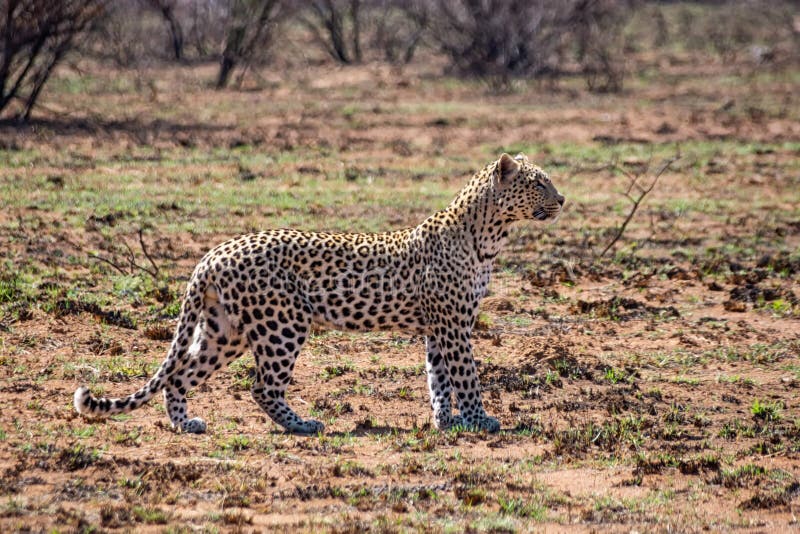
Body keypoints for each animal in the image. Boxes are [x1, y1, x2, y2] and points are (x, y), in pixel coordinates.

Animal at [74, 153, 565, 435]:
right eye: (538, 183)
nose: (562, 200)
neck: (490, 235)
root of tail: (213, 253)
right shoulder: (454, 324)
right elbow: (466, 377)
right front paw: (480, 420)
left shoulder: (439, 326)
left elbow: (439, 379)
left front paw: (448, 422)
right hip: (282, 324)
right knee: (261, 386)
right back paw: (303, 425)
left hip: (224, 331)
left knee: (181, 374)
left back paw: (186, 424)